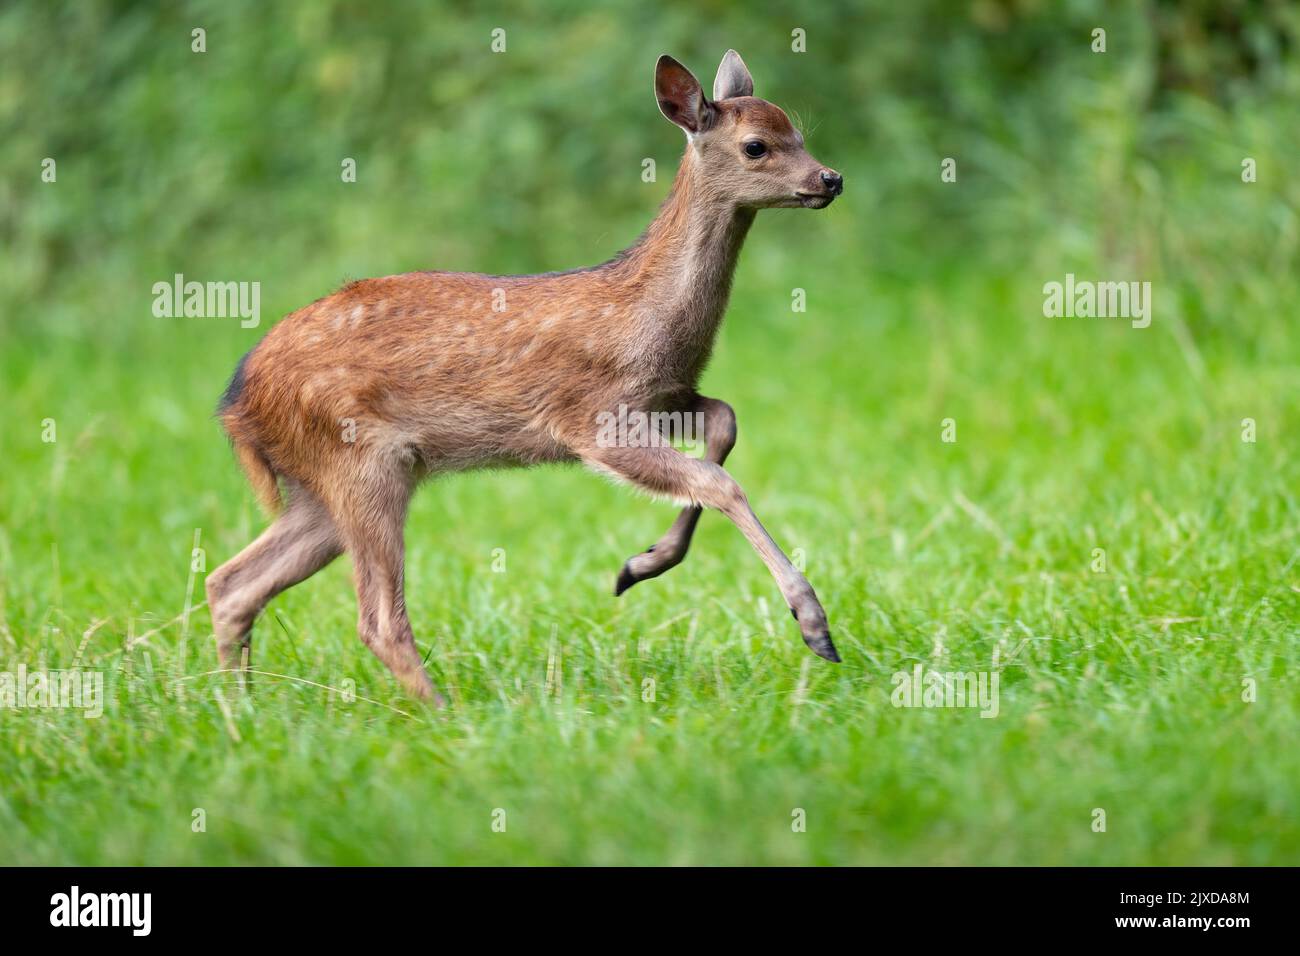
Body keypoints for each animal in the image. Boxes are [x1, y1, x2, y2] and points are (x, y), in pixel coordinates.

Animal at [207, 50, 845, 703]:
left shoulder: (663, 397)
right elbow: (719, 483)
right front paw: (811, 623)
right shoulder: (589, 418)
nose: (830, 179)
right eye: (756, 146)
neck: (643, 316)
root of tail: (236, 399)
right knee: (374, 619)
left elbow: (725, 422)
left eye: (799, 133)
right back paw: (447, 712)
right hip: (359, 459)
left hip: (324, 483)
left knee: (232, 582)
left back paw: (239, 704)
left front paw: (641, 563)